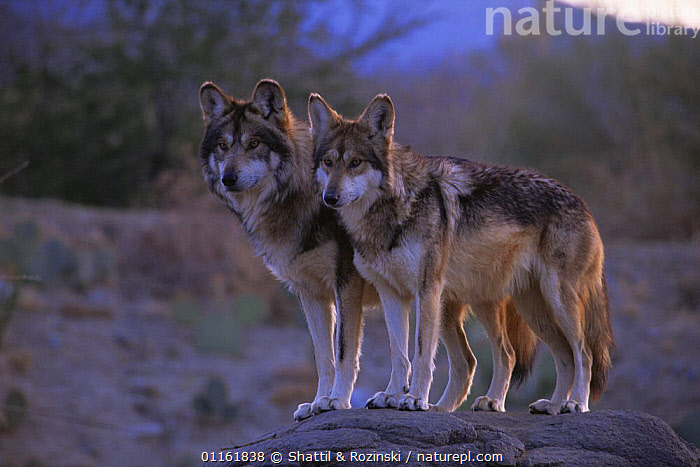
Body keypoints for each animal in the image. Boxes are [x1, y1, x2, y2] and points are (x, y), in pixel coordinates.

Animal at [309, 93, 614, 414]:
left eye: (355, 163)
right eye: (328, 163)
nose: (330, 197)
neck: (393, 209)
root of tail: (582, 203)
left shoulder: (427, 290)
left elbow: (420, 353)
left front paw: (414, 398)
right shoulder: (391, 293)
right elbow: (398, 353)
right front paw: (391, 395)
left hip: (557, 301)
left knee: (583, 353)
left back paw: (575, 403)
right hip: (525, 308)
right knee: (544, 354)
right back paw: (545, 405)